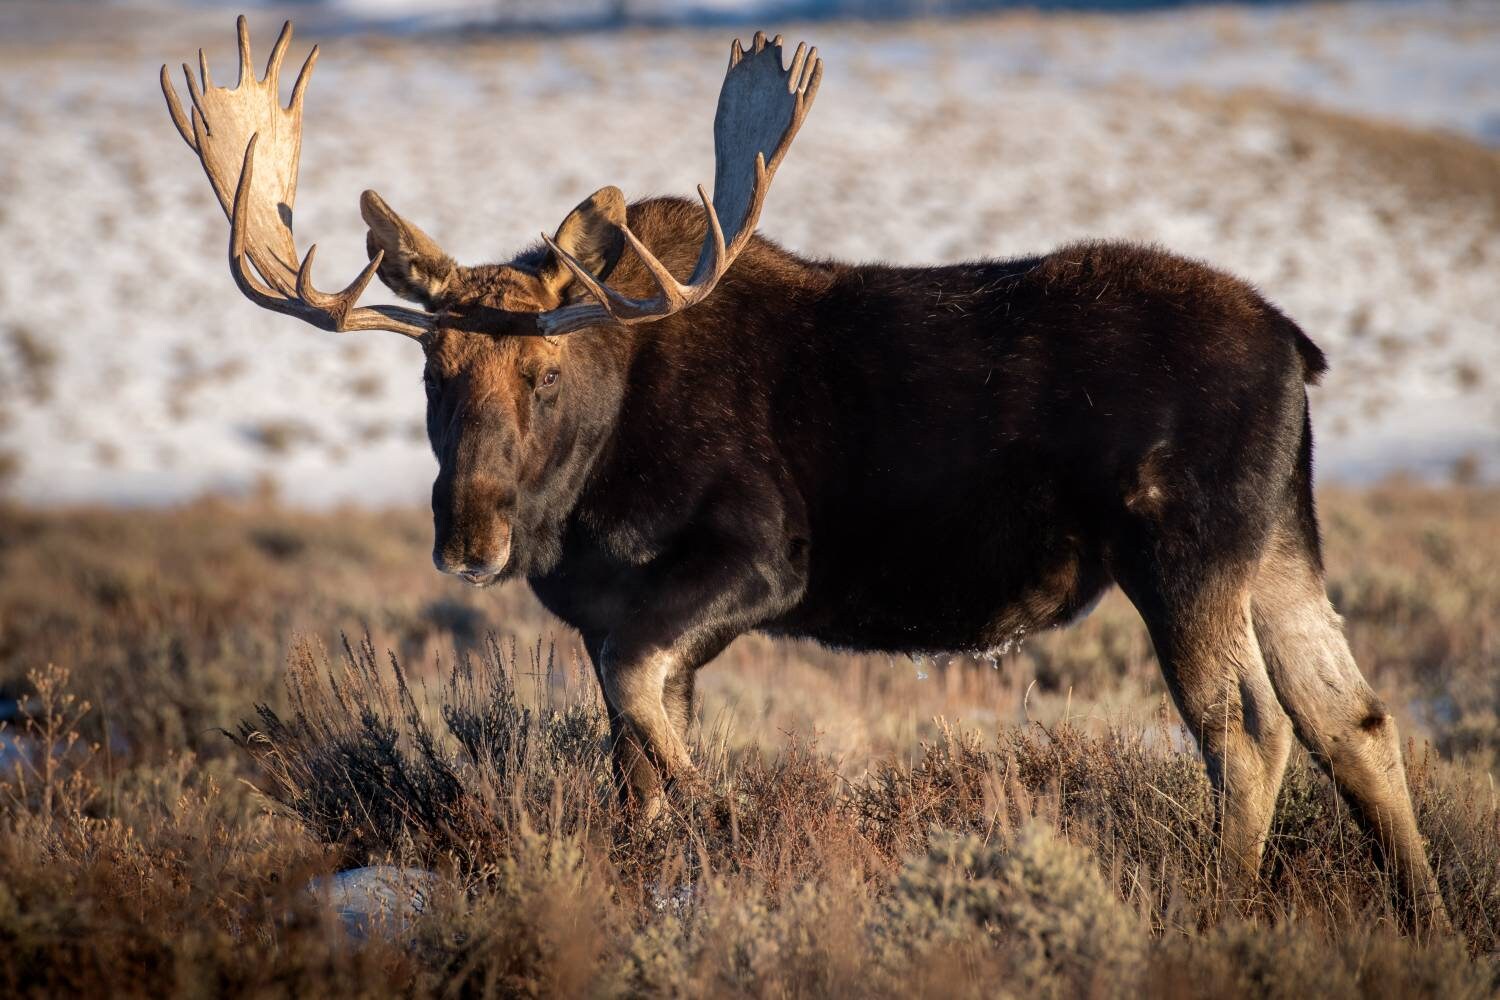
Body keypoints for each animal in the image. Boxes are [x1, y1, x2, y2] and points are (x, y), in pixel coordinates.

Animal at [162, 18, 1447, 930]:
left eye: (547, 367)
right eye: (433, 368)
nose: (467, 535)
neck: (581, 493)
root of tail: (1297, 345)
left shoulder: (758, 558)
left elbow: (646, 707)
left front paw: (744, 829)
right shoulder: (624, 613)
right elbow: (630, 754)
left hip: (1183, 552)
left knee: (1252, 731)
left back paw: (1219, 909)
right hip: (1279, 545)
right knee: (1356, 718)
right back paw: (1424, 918)